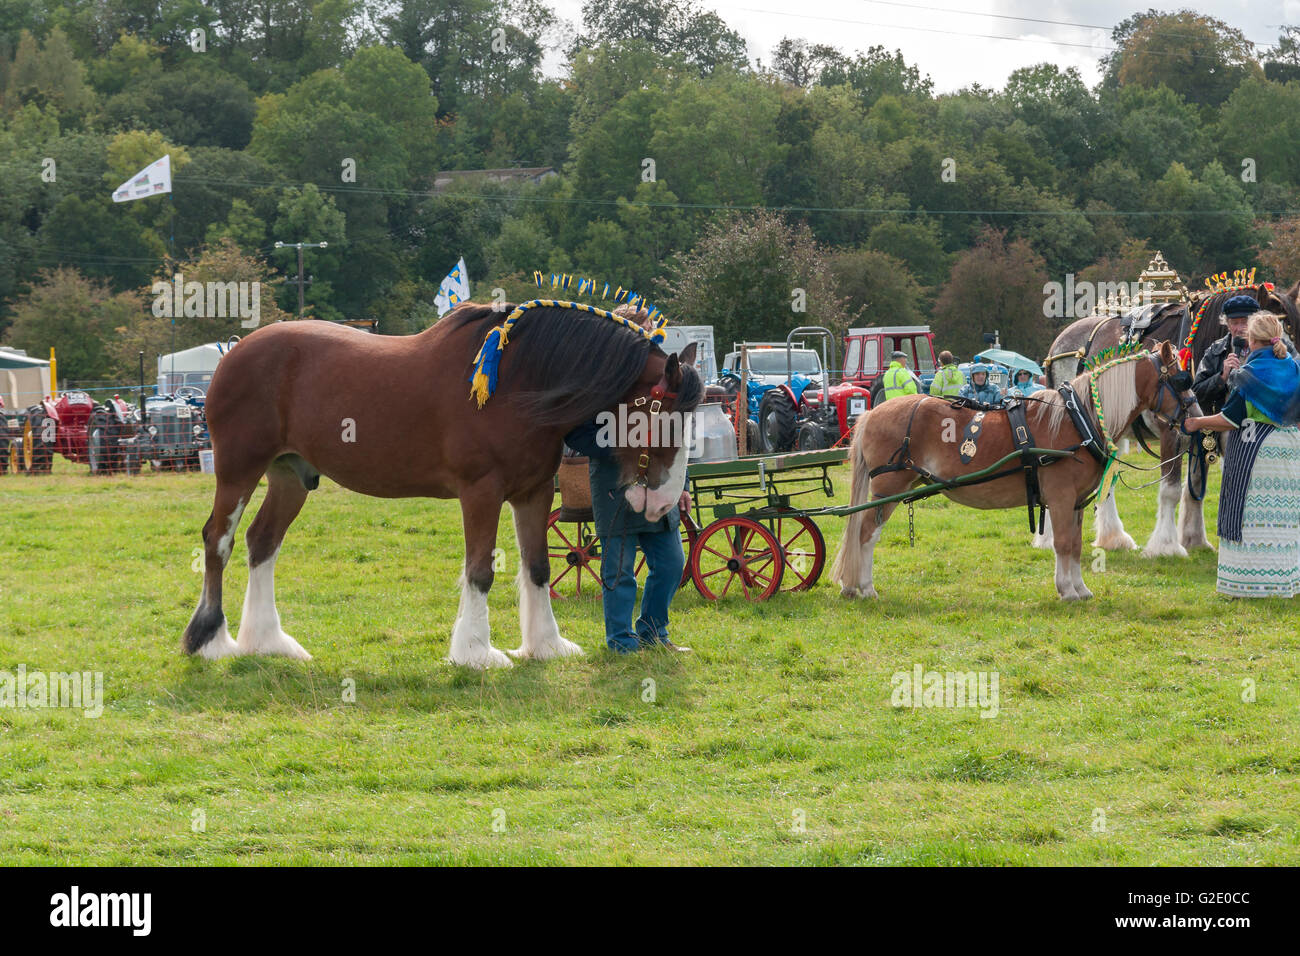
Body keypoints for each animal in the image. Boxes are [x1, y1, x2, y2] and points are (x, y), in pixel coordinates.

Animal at [181, 303, 702, 669]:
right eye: (663, 419)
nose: (662, 504)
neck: (520, 378)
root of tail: (234, 353)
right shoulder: (481, 492)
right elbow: (480, 571)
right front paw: (475, 652)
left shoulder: (532, 492)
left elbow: (537, 567)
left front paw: (546, 646)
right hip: (238, 469)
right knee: (219, 541)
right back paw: (210, 640)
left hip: (290, 476)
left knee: (261, 542)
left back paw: (267, 642)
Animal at [831, 341, 1195, 601]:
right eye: (1181, 380)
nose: (1195, 415)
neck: (1078, 419)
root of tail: (871, 413)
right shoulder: (1061, 498)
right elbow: (1064, 543)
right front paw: (1067, 591)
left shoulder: (1075, 503)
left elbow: (1076, 544)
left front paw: (1079, 587)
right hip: (888, 489)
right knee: (866, 534)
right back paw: (863, 587)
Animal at [1039, 282, 1300, 557]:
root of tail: (1059, 344)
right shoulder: (1173, 433)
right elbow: (1171, 491)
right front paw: (1166, 545)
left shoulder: (1206, 434)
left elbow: (1196, 486)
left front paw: (1195, 539)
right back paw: (1049, 538)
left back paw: (1113, 537)